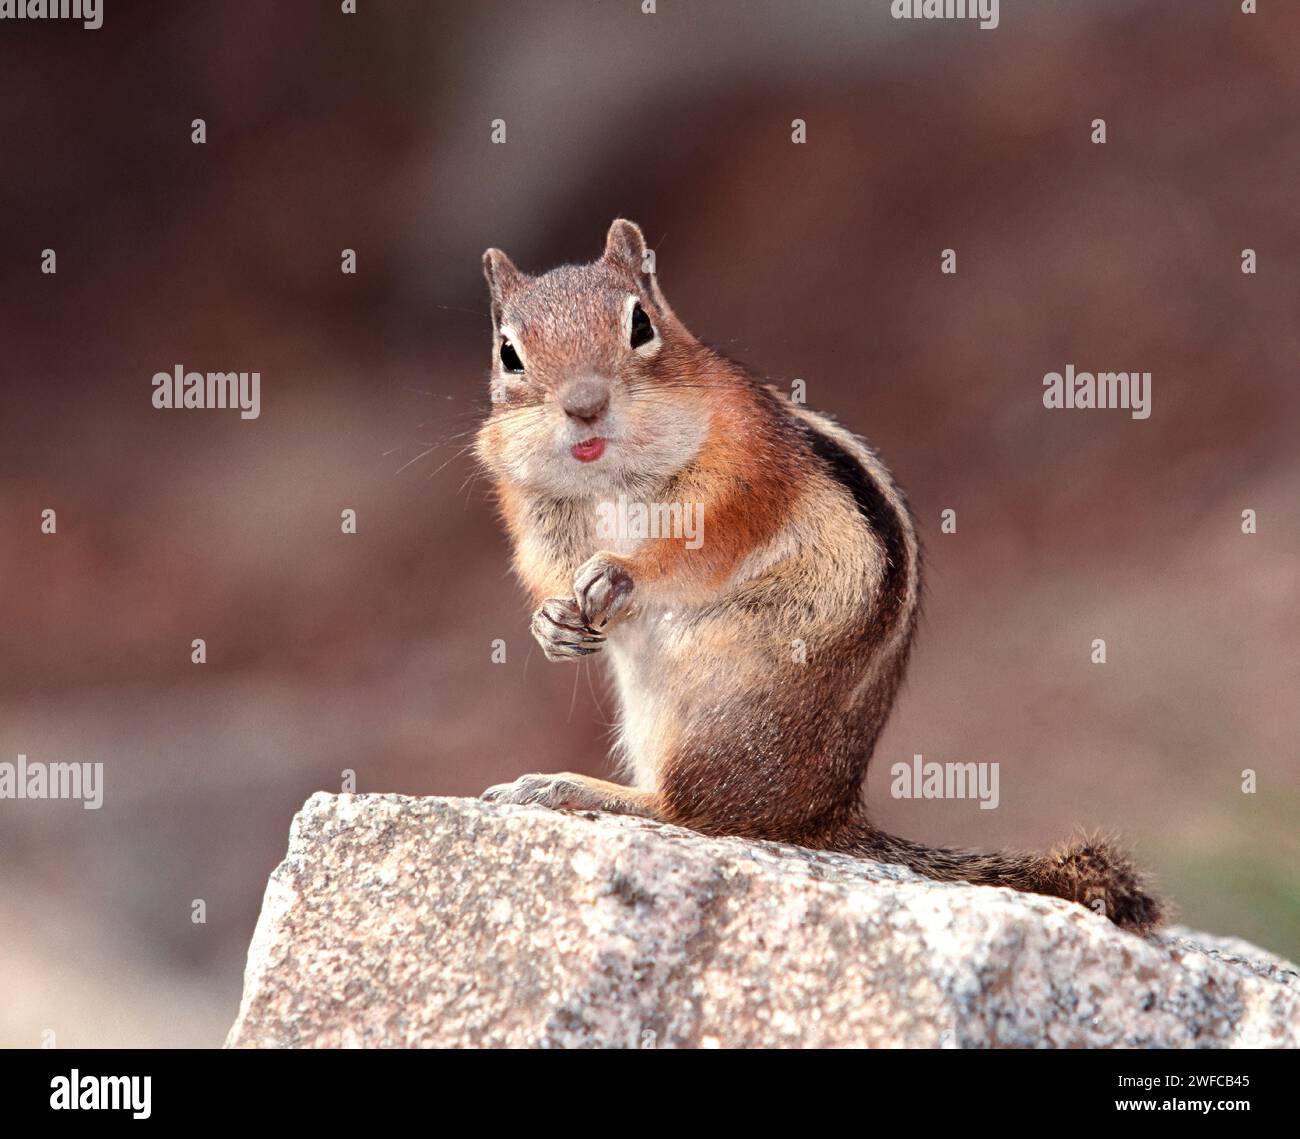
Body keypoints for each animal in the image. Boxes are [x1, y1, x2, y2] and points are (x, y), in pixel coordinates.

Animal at [475, 219, 1163, 936]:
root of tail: (823, 813)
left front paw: (621, 570)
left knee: (697, 811)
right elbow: (546, 563)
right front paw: (552, 621)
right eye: (509, 353)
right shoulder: (534, 504)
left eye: (640, 324)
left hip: (720, 697)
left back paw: (568, 786)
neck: (606, 476)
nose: (584, 406)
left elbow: (699, 547)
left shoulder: (743, 473)